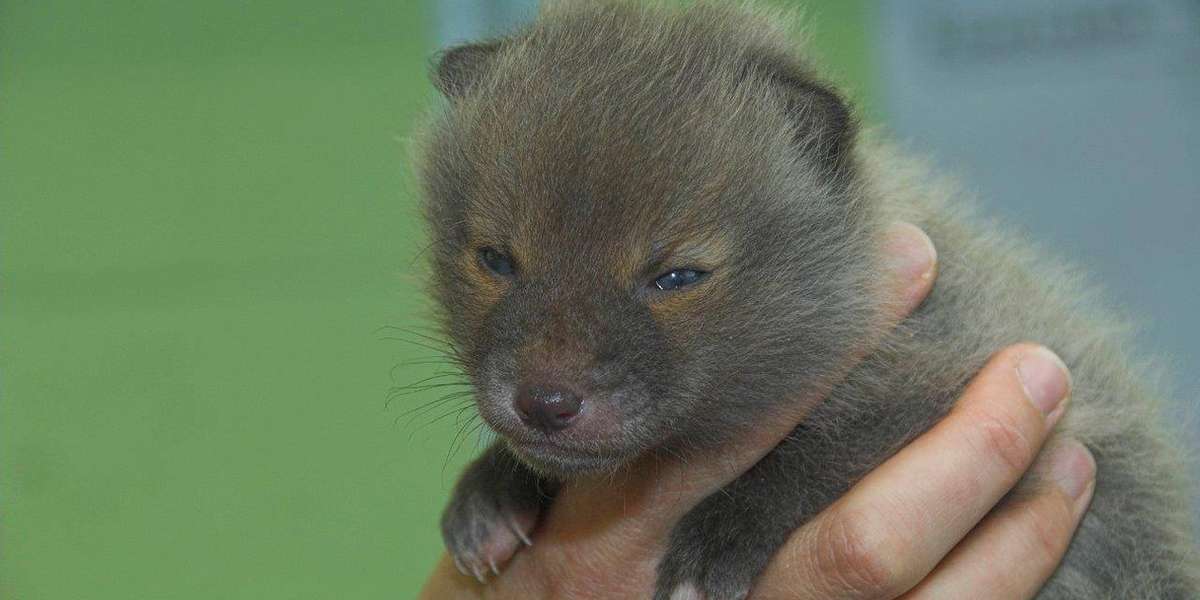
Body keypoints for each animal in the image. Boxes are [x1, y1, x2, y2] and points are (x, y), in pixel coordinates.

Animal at [414, 2, 1200, 598]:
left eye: (677, 277)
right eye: (495, 259)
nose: (546, 402)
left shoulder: (980, 369)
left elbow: (824, 450)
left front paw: (717, 542)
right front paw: (491, 492)